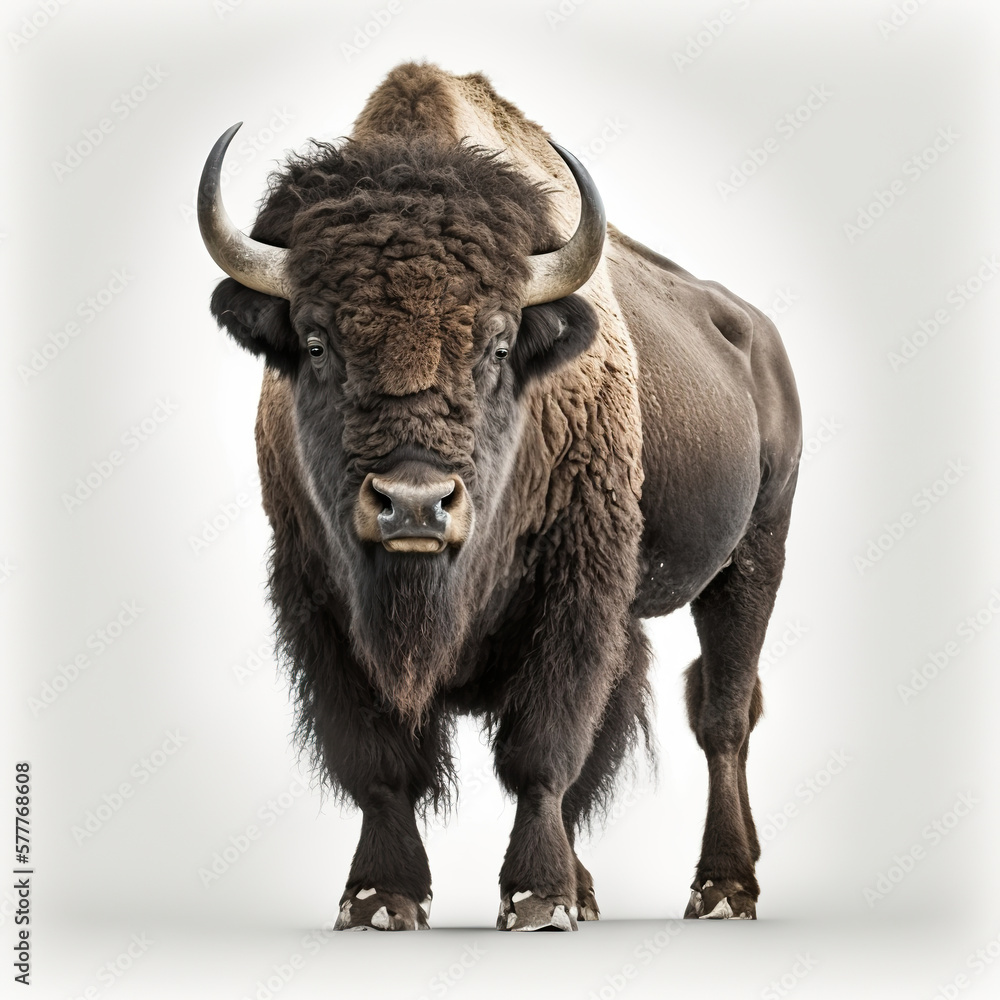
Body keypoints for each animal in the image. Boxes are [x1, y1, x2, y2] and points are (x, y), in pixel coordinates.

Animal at [199, 62, 801, 930]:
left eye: (500, 342)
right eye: (314, 342)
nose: (415, 505)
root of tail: (759, 342)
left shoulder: (572, 587)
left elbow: (542, 749)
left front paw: (539, 900)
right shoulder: (319, 596)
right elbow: (379, 760)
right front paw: (380, 898)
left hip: (753, 555)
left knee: (723, 715)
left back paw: (722, 890)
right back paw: (599, 889)